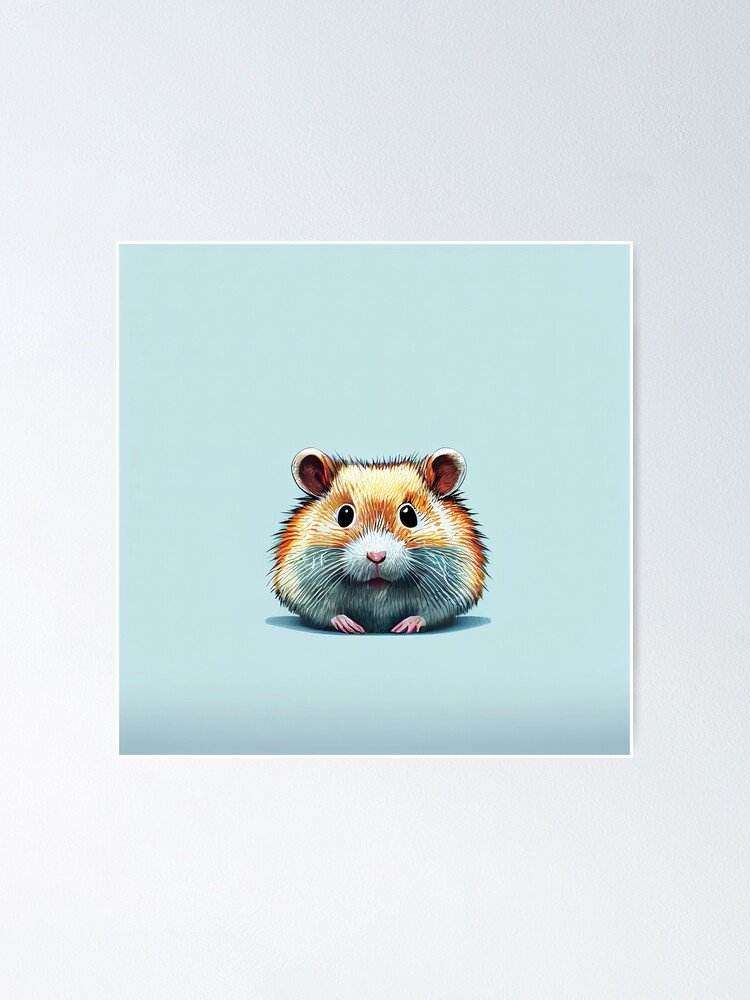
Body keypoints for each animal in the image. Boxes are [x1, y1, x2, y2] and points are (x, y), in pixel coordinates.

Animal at [272, 449, 487, 633]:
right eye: (344, 514)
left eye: (409, 515)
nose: (376, 557)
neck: (378, 588)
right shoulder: (299, 585)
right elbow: (324, 612)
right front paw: (350, 626)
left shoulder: (456, 586)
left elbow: (429, 613)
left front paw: (405, 626)